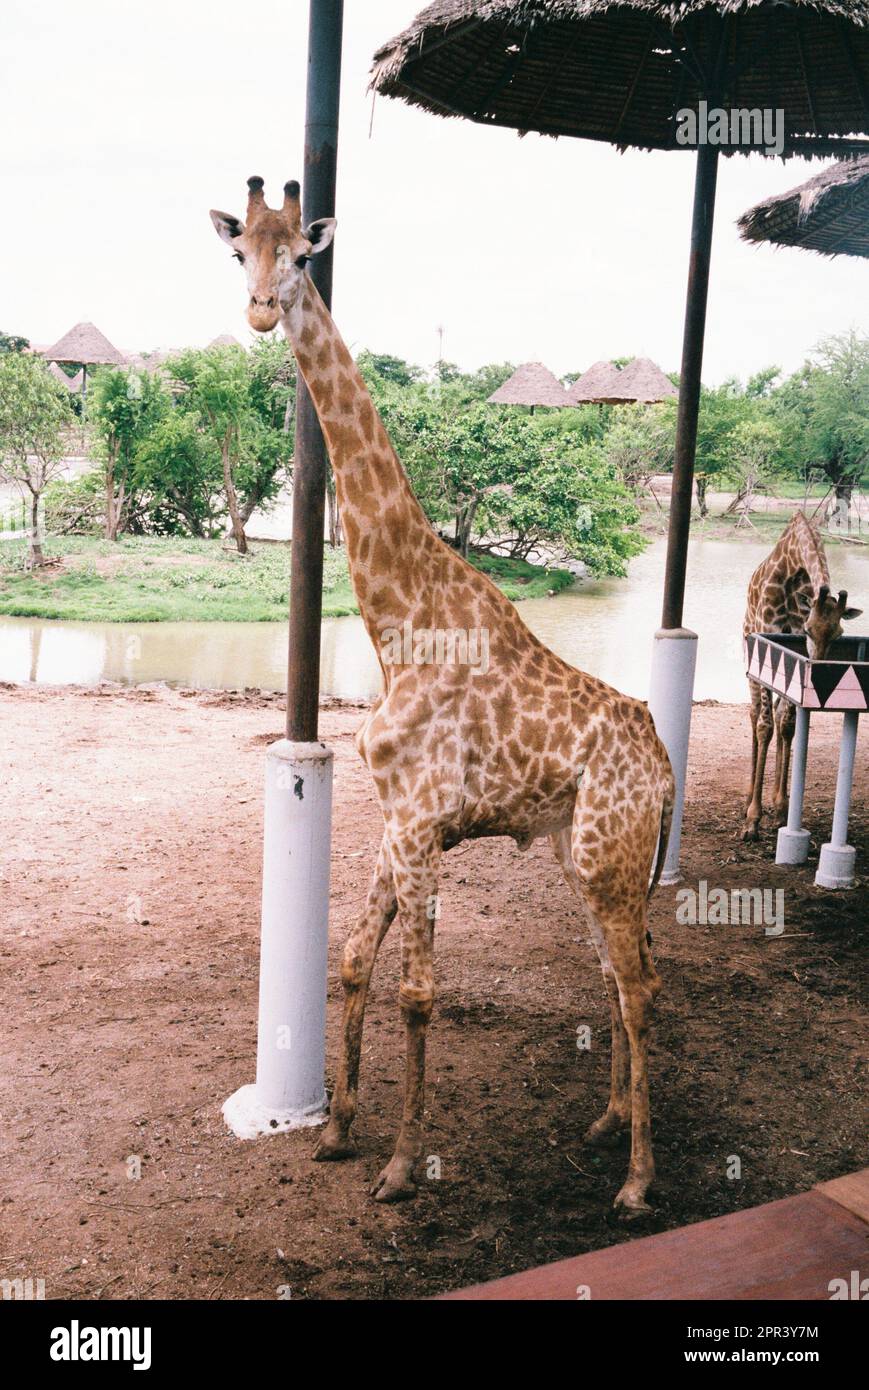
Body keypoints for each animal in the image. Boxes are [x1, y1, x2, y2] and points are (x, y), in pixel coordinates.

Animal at [210, 178, 675, 1215]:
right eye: (237, 251)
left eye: (299, 253)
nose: (258, 310)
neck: (397, 614)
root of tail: (665, 768)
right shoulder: (397, 818)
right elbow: (352, 959)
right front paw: (337, 1130)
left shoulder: (423, 818)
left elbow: (418, 993)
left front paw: (395, 1168)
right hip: (581, 853)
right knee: (620, 973)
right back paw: (605, 1123)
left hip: (610, 852)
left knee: (635, 986)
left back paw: (636, 1182)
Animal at [742, 511, 861, 841]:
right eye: (809, 631)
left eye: (839, 634)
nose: (820, 674)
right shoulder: (768, 638)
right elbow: (765, 727)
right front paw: (752, 820)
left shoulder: (791, 649)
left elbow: (787, 724)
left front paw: (781, 809)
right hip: (749, 651)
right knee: (756, 715)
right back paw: (749, 799)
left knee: (780, 715)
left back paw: (775, 801)